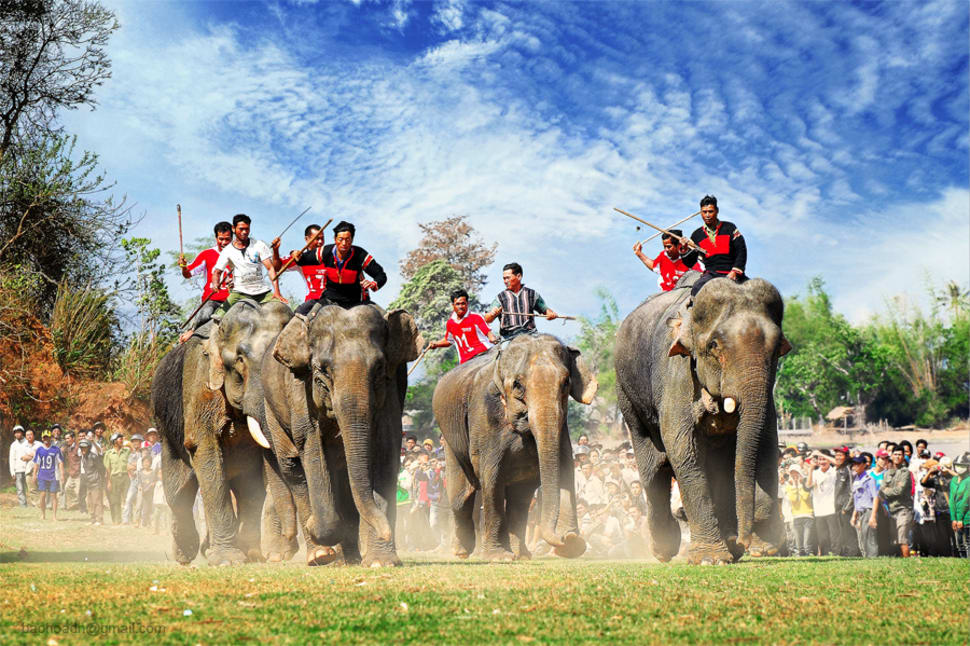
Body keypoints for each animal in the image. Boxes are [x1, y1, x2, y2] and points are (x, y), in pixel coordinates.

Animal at [151, 299, 298, 565]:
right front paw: (226, 560)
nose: (290, 543)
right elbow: (205, 451)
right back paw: (186, 554)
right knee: (179, 491)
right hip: (164, 427)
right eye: (239, 360)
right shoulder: (201, 387)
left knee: (244, 487)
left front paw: (267, 554)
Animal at [259, 304, 423, 567]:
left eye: (379, 368)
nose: (386, 532)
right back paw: (321, 555)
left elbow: (386, 450)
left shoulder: (389, 392)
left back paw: (349, 558)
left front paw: (380, 562)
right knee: (293, 467)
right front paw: (317, 530)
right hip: (270, 410)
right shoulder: (300, 389)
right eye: (322, 372)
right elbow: (311, 448)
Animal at [431, 333, 597, 561]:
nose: (563, 539)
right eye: (518, 385)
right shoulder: (485, 421)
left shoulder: (562, 429)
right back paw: (462, 552)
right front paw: (498, 557)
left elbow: (561, 470)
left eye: (565, 383)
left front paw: (572, 544)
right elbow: (492, 477)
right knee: (461, 496)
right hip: (449, 437)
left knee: (519, 496)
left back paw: (520, 554)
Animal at [614, 275, 791, 564]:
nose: (742, 540)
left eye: (778, 349)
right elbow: (683, 448)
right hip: (627, 395)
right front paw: (711, 558)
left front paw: (764, 545)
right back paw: (664, 548)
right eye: (714, 346)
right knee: (653, 465)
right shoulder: (677, 374)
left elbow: (765, 443)